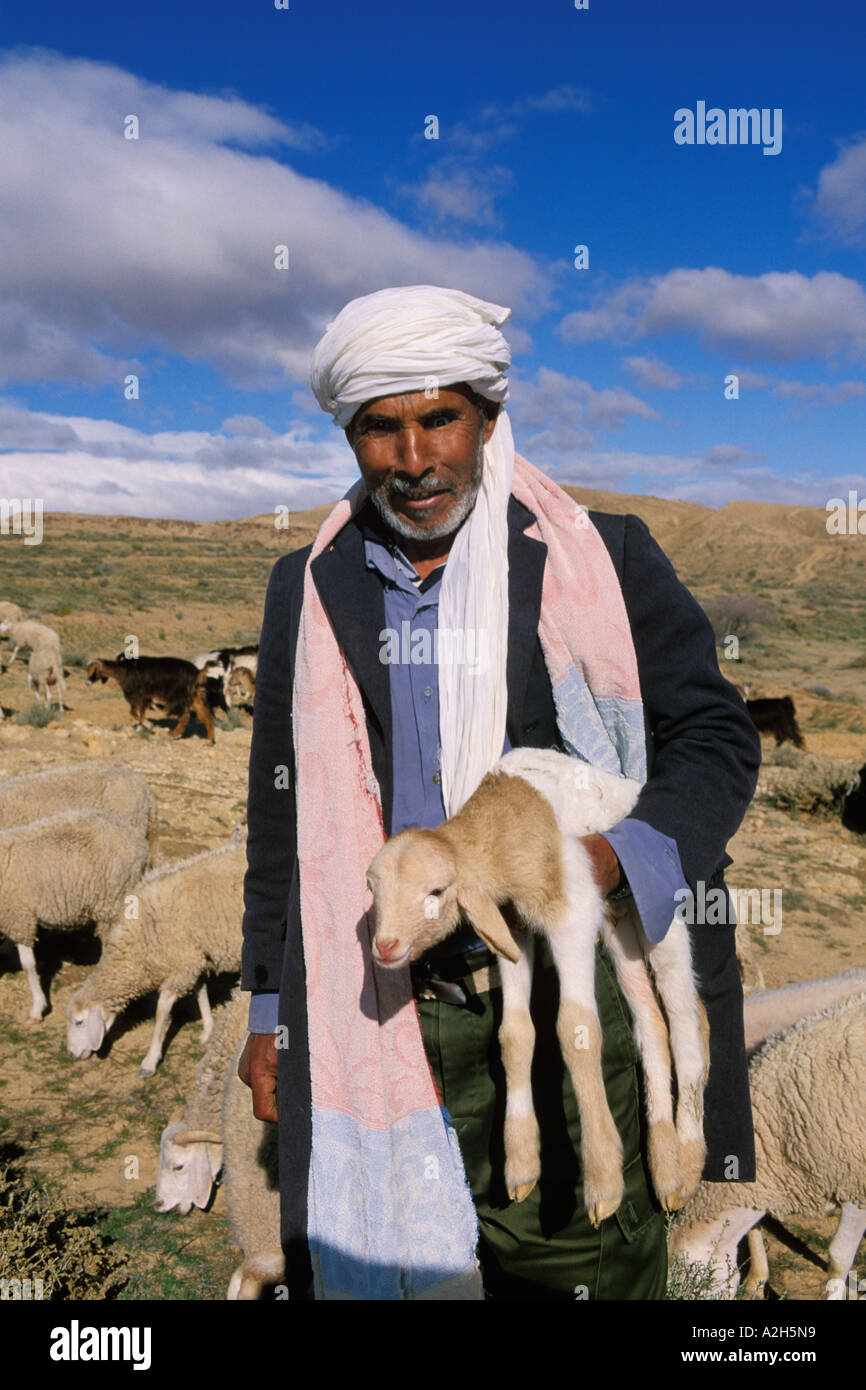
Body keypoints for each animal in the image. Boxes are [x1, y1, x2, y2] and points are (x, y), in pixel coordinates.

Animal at [66, 839, 246, 1076]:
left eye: (79, 1022)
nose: (70, 1054)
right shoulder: (191, 959)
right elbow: (200, 992)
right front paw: (208, 1030)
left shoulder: (180, 966)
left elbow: (161, 1011)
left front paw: (150, 1061)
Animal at [367, 747, 709, 1227]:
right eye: (372, 889)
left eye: (436, 891)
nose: (385, 946)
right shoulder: (512, 927)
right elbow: (514, 1035)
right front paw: (522, 1163)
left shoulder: (572, 911)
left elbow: (576, 1031)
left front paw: (603, 1182)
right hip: (619, 926)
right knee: (653, 1024)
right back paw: (666, 1169)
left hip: (662, 918)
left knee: (687, 1026)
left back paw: (690, 1157)